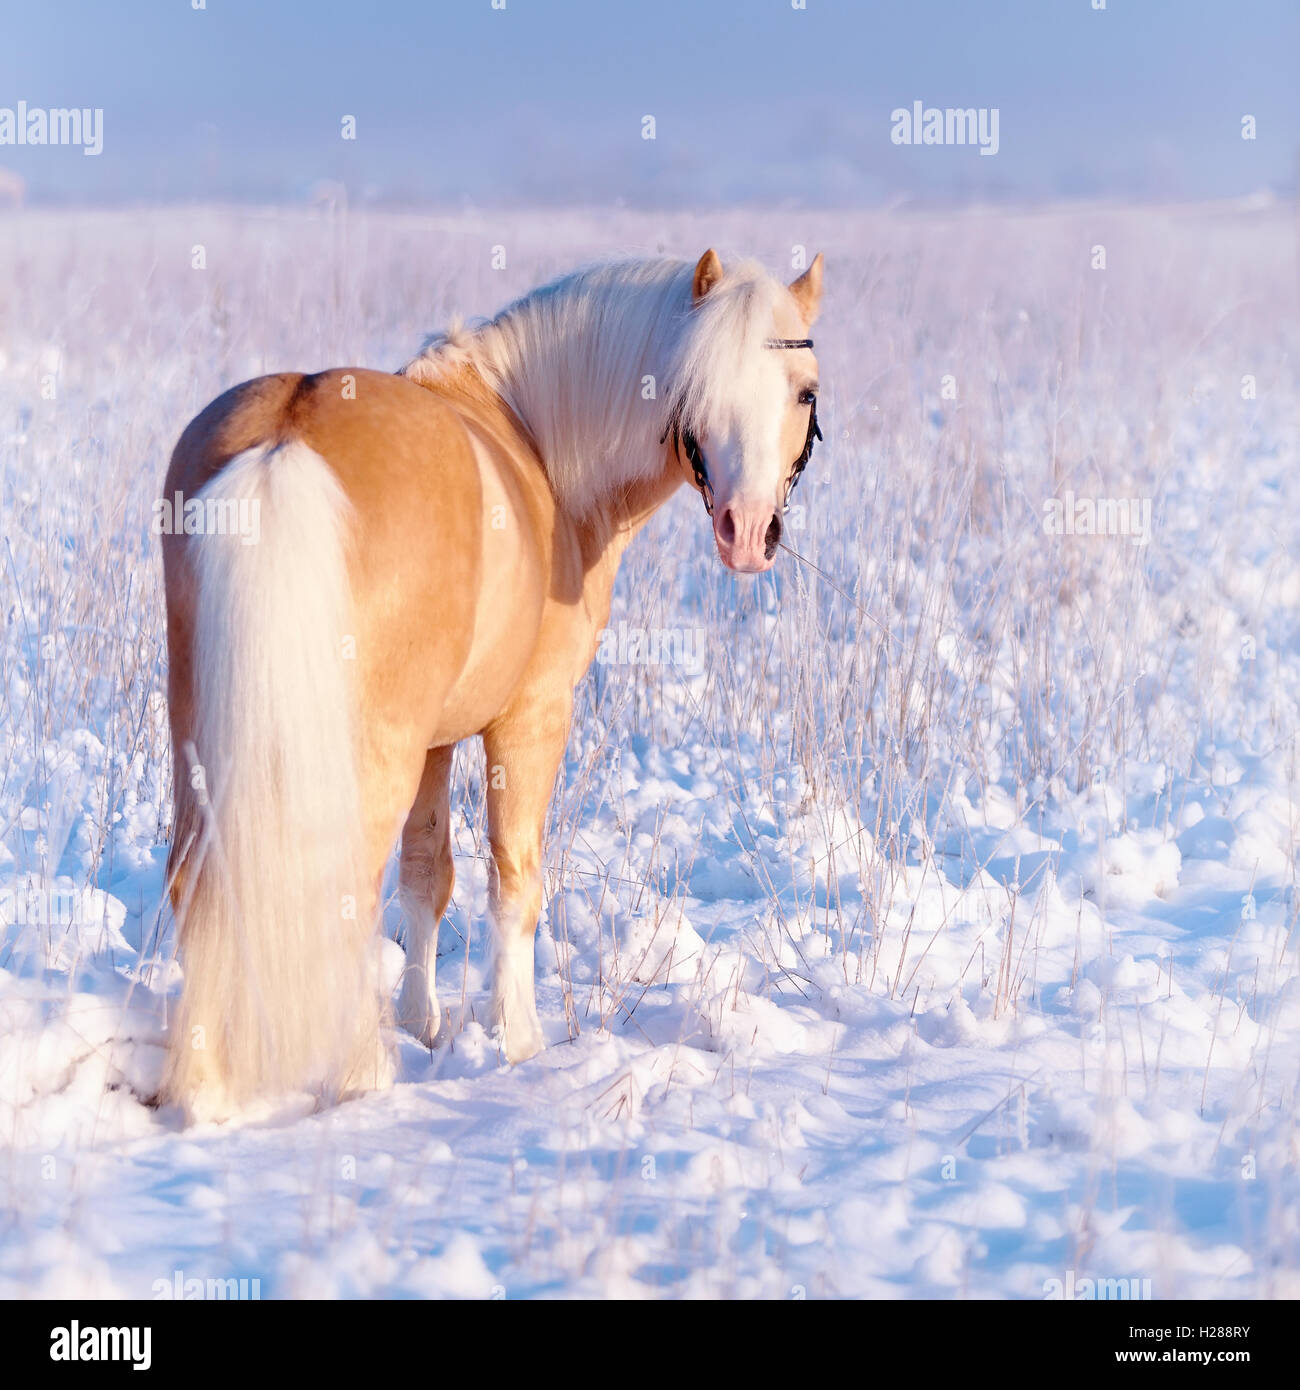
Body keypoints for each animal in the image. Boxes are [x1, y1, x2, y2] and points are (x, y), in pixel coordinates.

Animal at [158, 247, 824, 1120]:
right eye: (695, 384)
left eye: (804, 392)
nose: (748, 531)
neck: (533, 441)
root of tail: (285, 441)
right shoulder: (529, 720)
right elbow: (514, 880)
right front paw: (519, 1041)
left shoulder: (436, 741)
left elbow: (426, 875)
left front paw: (422, 1022)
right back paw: (362, 1075)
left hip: (202, 732)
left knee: (195, 880)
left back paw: (204, 1092)